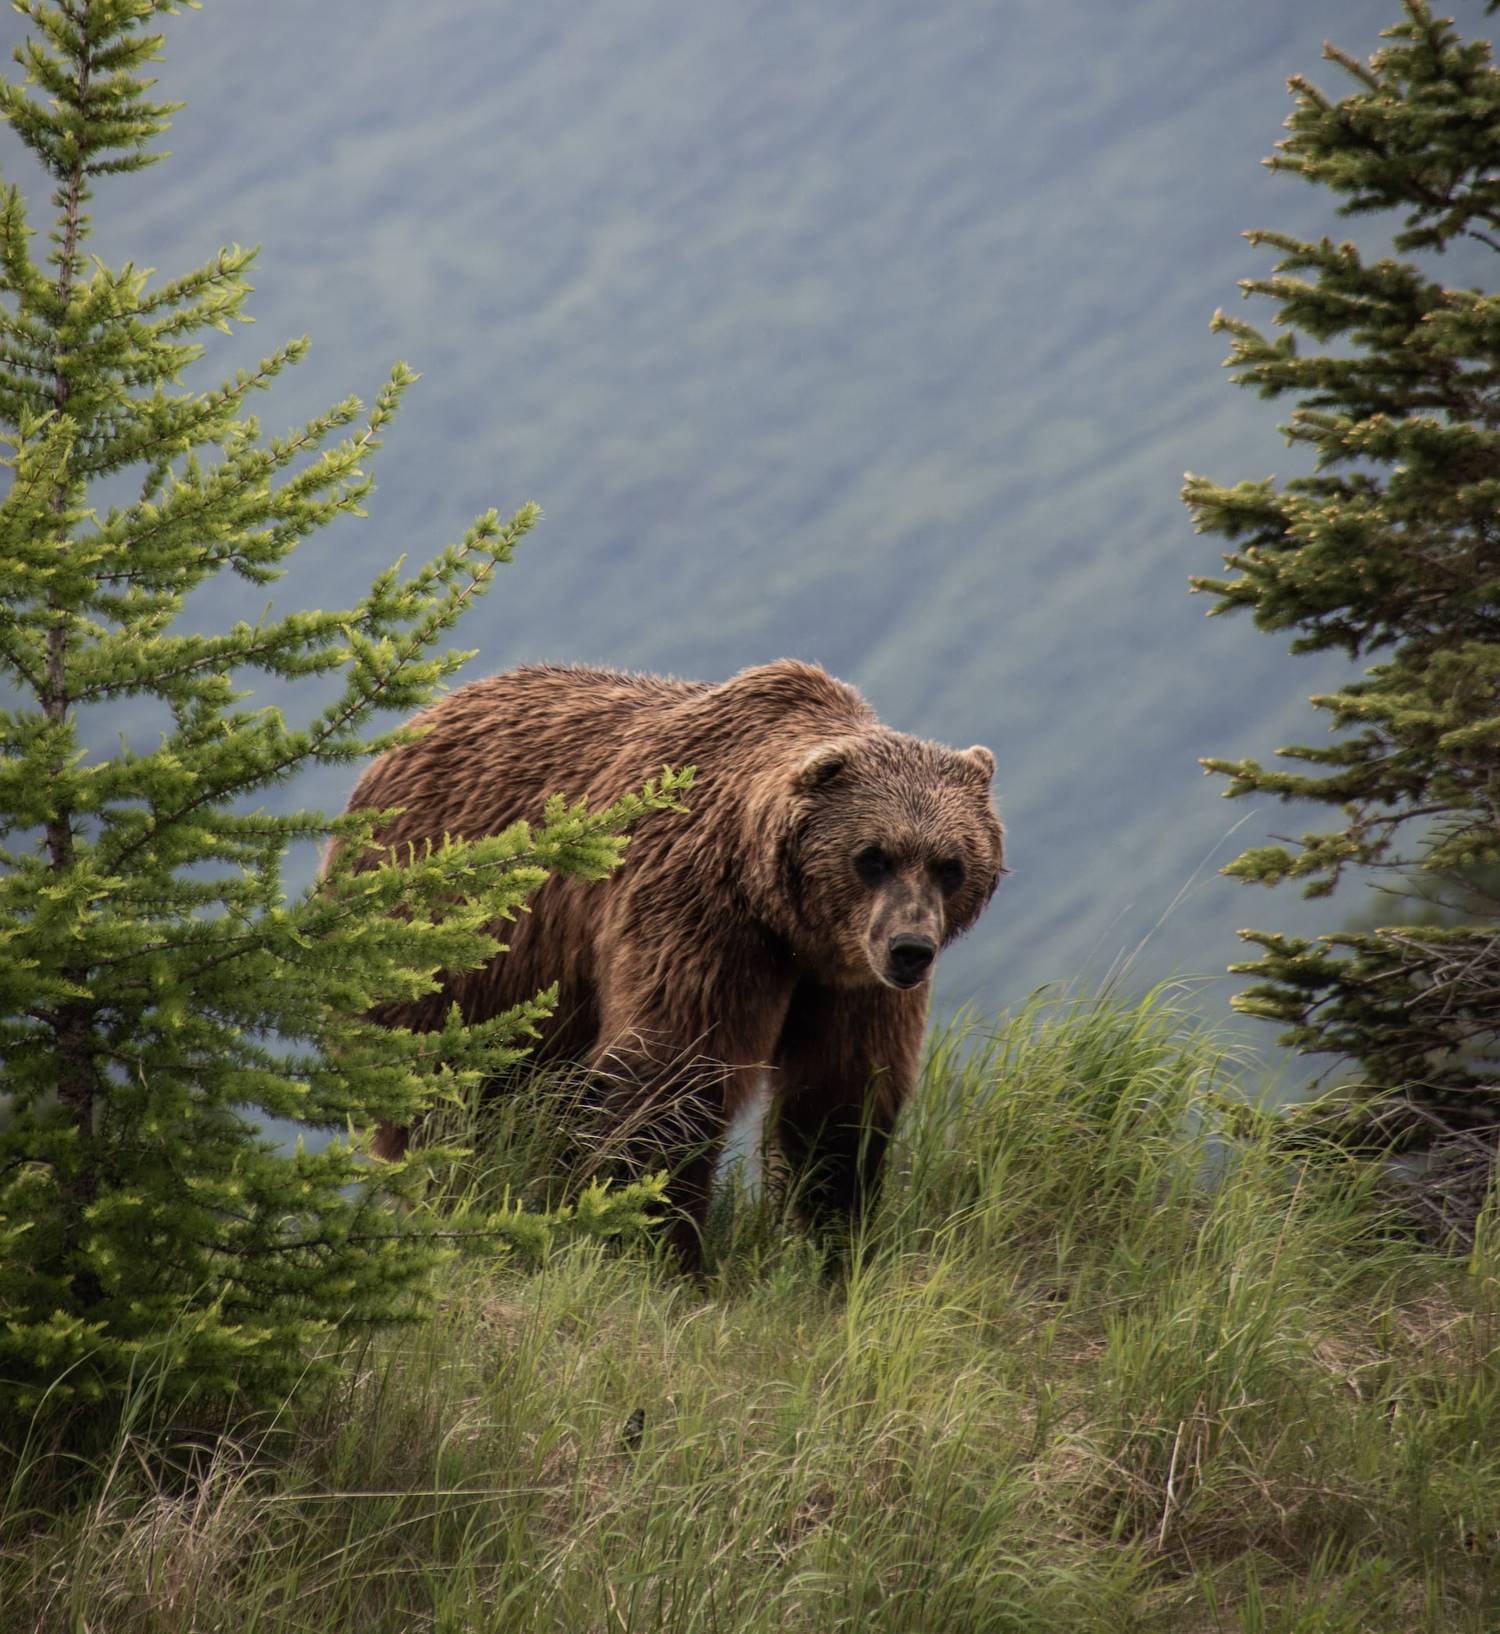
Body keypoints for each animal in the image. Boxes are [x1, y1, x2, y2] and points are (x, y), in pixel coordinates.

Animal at [336, 658, 1004, 1261]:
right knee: (445, 1093)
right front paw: (661, 1248)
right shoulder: (699, 915)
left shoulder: (849, 981)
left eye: (950, 864)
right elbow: (672, 1073)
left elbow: (839, 1099)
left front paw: (832, 1246)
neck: (784, 917)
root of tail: (413, 727)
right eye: (873, 856)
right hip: (450, 947)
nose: (910, 949)